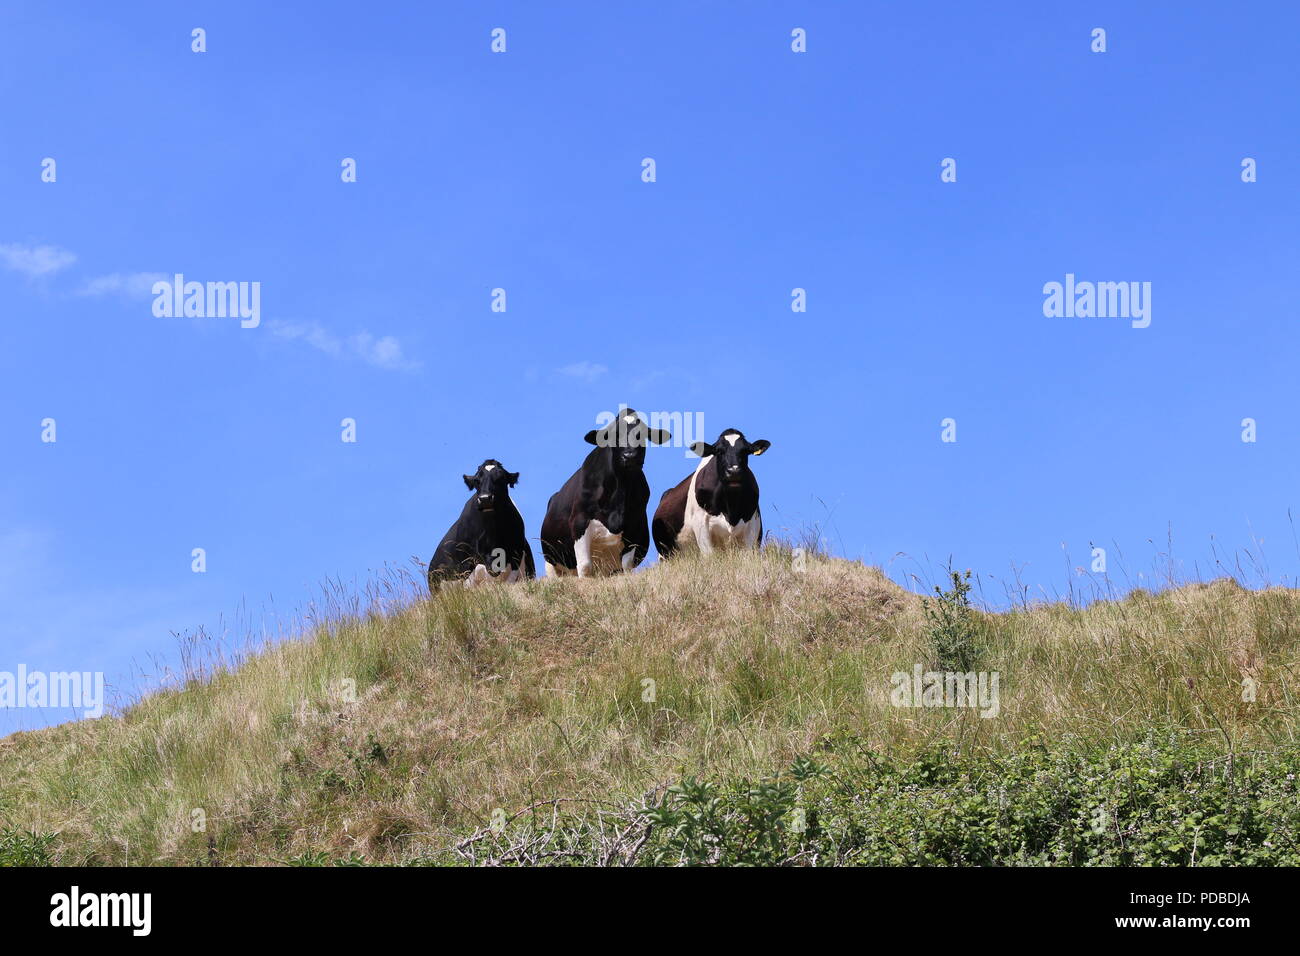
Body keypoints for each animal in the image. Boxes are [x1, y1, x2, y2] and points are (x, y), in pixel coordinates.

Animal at [540, 408, 672, 577]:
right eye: (615, 434)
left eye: (641, 434)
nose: (630, 456)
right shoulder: (579, 522)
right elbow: (585, 566)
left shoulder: (634, 528)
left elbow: (627, 566)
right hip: (551, 560)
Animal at [652, 429, 771, 558]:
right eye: (719, 451)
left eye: (745, 451)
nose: (734, 471)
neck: (731, 508)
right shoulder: (701, 524)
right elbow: (709, 555)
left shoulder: (752, 526)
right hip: (666, 554)